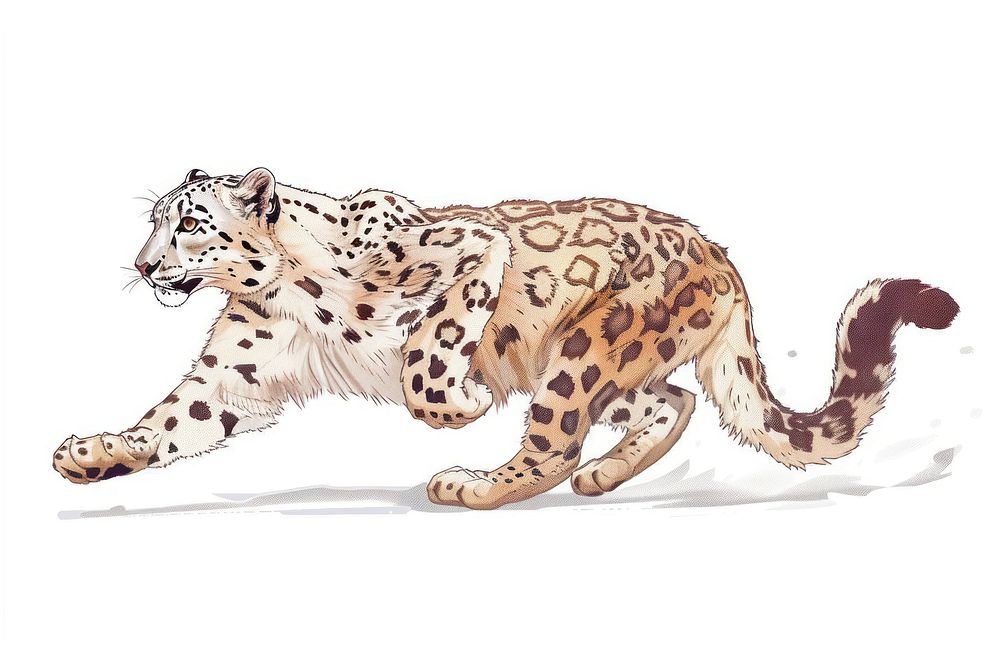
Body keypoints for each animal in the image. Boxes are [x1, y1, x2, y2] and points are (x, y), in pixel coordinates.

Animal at [51, 168, 960, 509]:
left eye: (189, 223)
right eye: (155, 222)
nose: (142, 264)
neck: (276, 291)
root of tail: (721, 260)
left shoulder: (461, 248)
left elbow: (433, 345)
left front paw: (458, 394)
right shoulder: (234, 371)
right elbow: (172, 419)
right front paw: (92, 453)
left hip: (583, 351)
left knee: (556, 437)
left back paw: (477, 481)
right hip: (615, 366)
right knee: (671, 401)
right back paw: (603, 475)